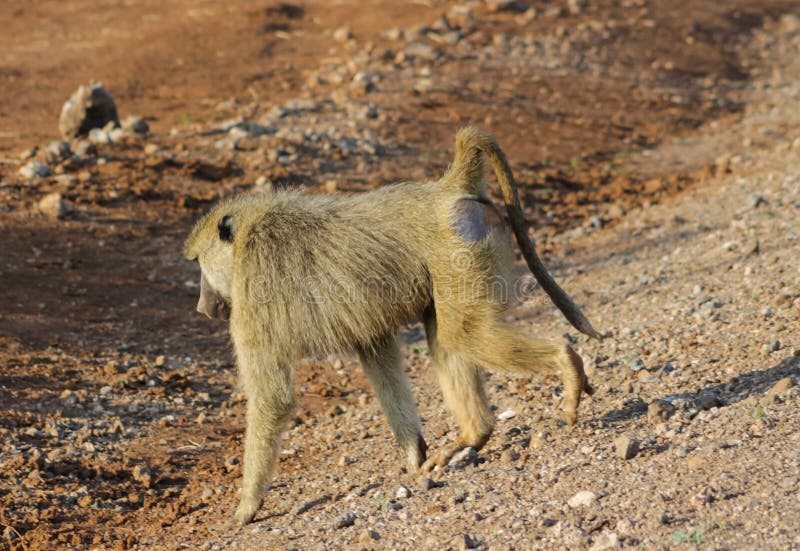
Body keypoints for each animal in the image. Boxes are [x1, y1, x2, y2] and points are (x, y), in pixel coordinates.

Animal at [184, 127, 598, 526]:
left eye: (199, 263)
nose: (202, 307)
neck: (248, 234)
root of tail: (446, 188)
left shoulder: (254, 291)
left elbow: (273, 398)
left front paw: (246, 508)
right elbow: (377, 353)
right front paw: (414, 452)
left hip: (458, 252)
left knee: (461, 334)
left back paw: (565, 363)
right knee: (445, 338)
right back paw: (473, 434)